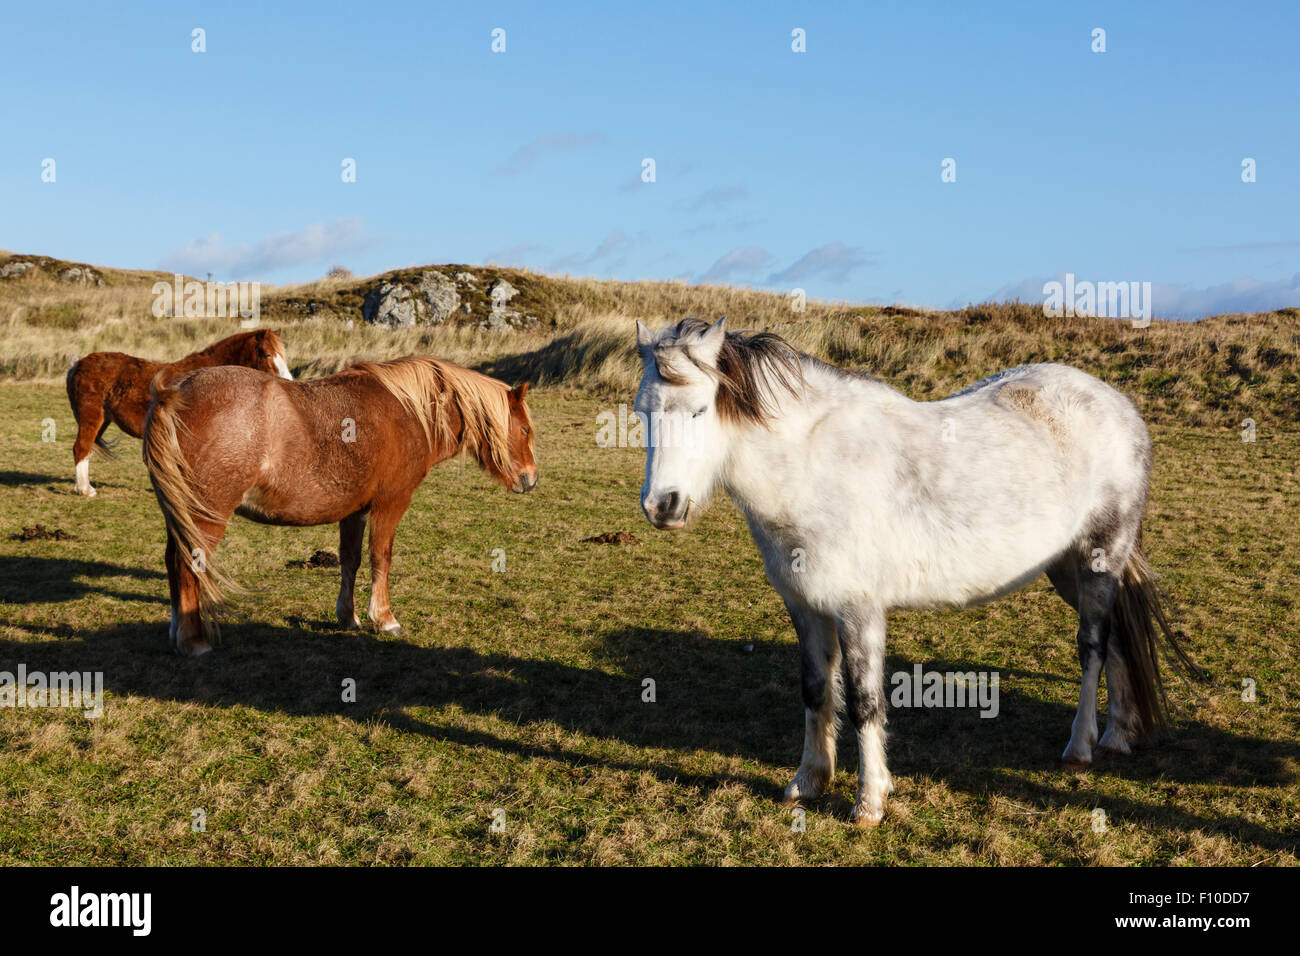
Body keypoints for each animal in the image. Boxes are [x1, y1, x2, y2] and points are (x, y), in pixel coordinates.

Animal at [66, 328, 292, 497]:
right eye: (267, 354)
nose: (288, 383)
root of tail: (79, 363)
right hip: (92, 417)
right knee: (81, 448)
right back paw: (85, 490)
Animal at [142, 355, 538, 657]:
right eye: (524, 430)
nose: (531, 479)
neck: (409, 412)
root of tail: (174, 393)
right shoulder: (391, 503)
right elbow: (381, 557)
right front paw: (385, 619)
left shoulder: (355, 511)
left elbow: (351, 560)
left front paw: (348, 617)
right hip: (204, 517)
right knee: (188, 564)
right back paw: (194, 641)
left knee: (173, 561)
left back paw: (178, 632)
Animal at [633, 316, 1198, 826]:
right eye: (642, 413)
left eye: (700, 410)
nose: (663, 506)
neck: (815, 465)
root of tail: (1121, 406)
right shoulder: (805, 605)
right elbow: (816, 689)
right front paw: (808, 781)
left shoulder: (859, 609)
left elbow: (864, 701)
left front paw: (869, 803)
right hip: (1067, 571)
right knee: (1119, 639)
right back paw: (1118, 736)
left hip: (1100, 558)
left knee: (1094, 647)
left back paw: (1080, 746)